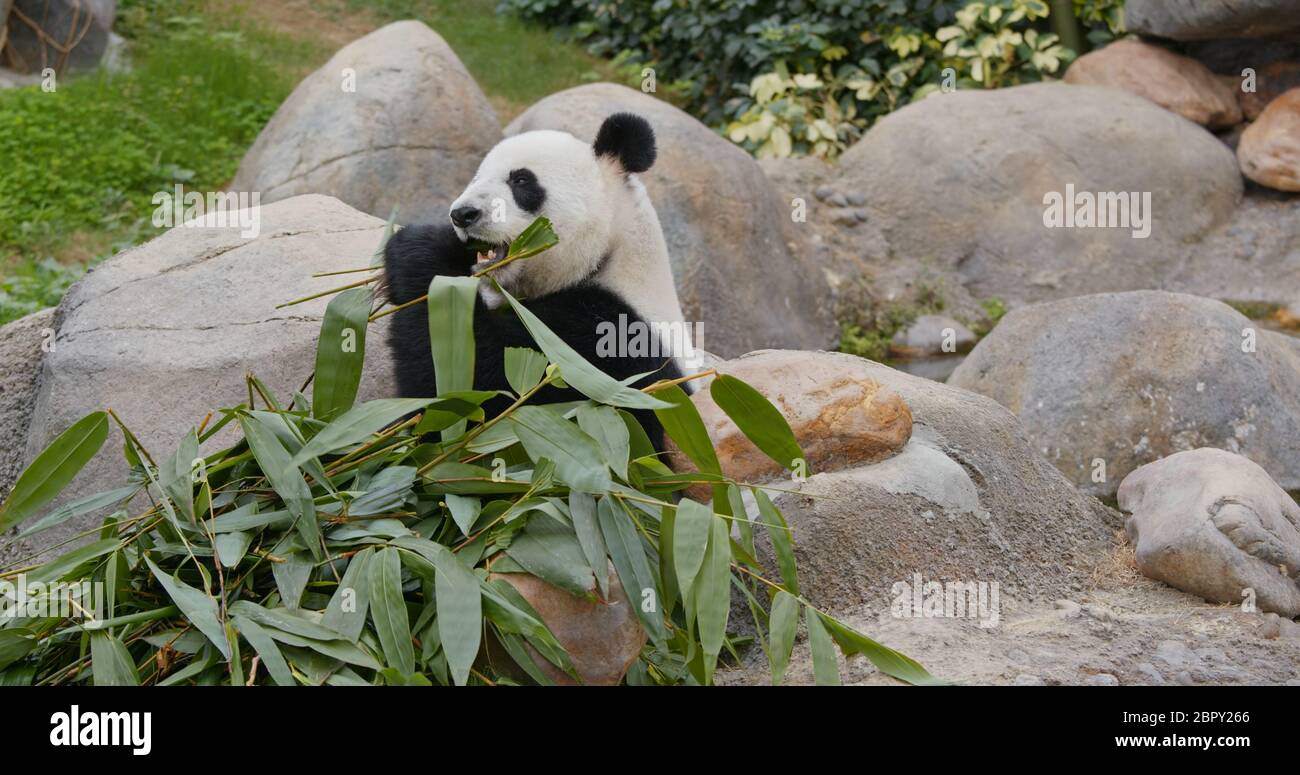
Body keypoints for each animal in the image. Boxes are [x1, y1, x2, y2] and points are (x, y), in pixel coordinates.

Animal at [381, 112, 690, 450]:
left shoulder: (611, 351)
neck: (610, 256)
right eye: (476, 179)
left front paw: (419, 254)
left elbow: (483, 397)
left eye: (520, 181)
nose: (463, 214)